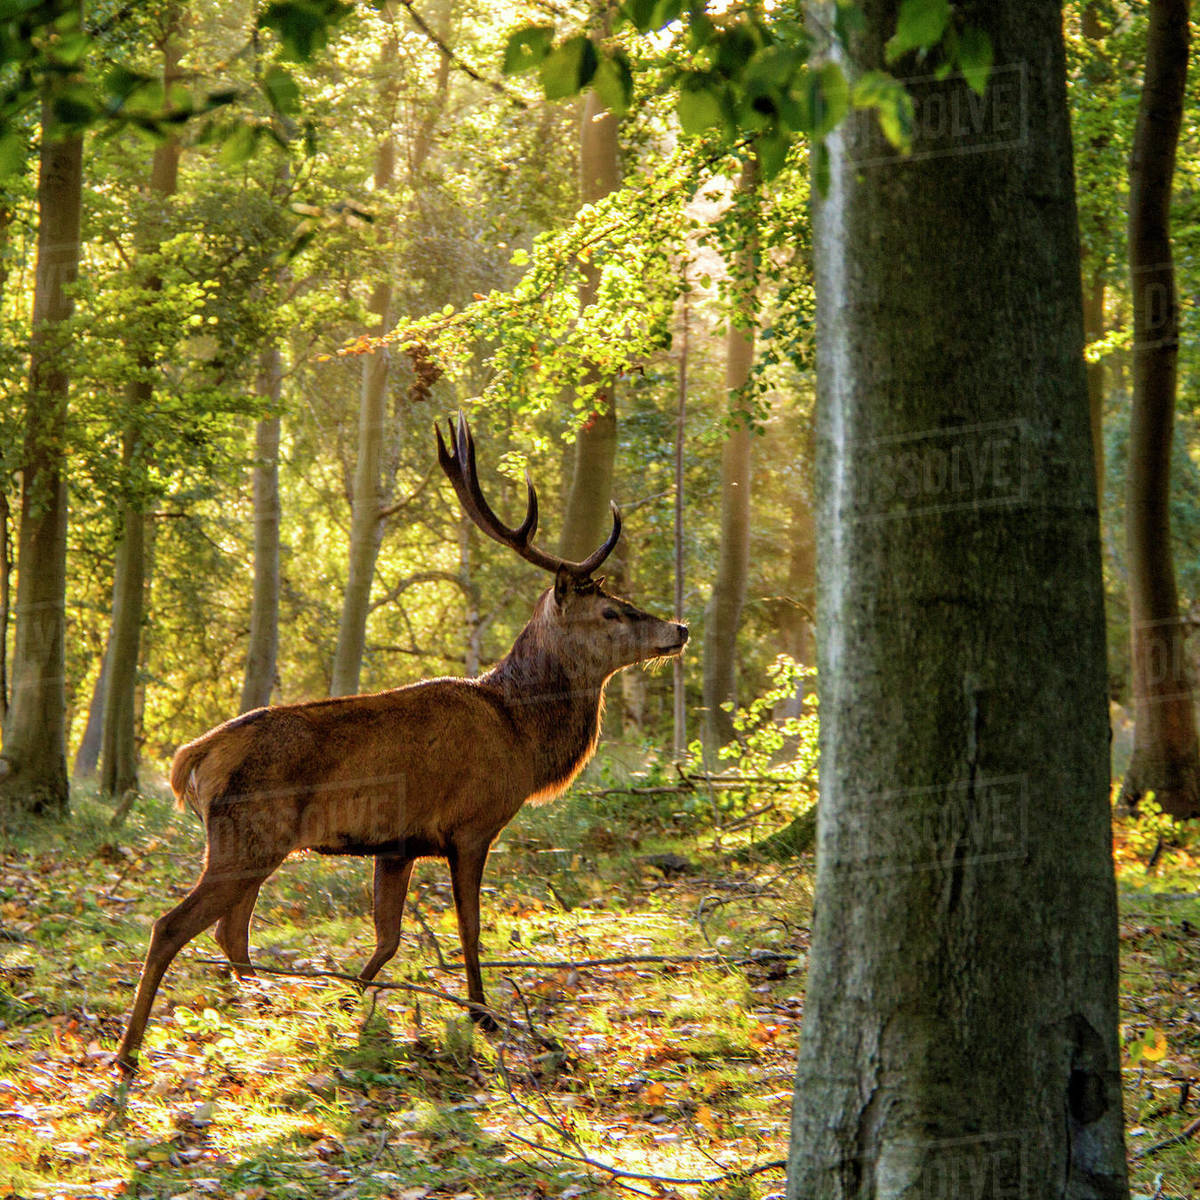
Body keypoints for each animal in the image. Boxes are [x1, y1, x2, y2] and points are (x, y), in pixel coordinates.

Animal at [115, 412, 688, 1073]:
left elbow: (387, 937)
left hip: (252, 842)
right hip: (248, 834)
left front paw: (350, 1004)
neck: (521, 736)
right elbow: (469, 928)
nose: (679, 627)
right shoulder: (471, 826)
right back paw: (130, 1052)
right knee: (171, 926)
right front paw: (482, 1015)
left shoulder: (398, 844)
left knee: (230, 930)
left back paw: (263, 1006)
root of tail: (193, 757)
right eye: (611, 612)